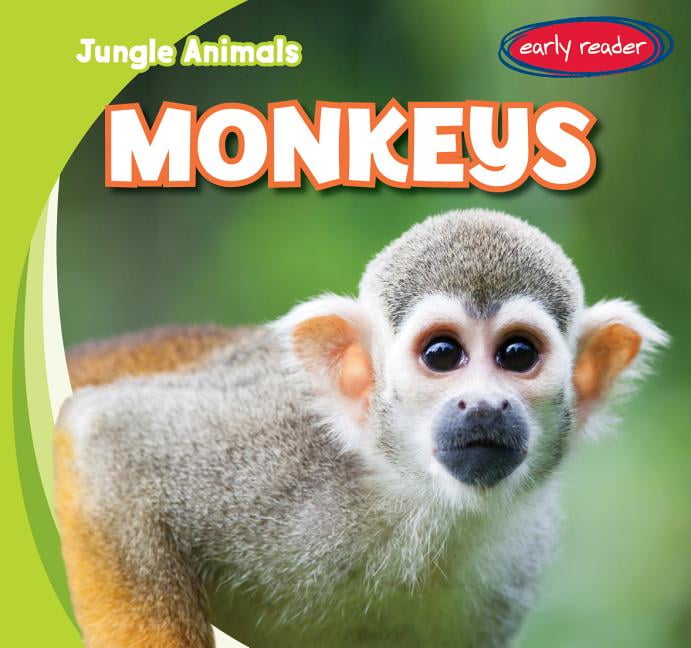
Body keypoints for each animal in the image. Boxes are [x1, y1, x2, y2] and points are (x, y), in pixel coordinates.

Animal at [54, 208, 667, 648]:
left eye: (518, 355)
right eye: (442, 354)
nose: (485, 406)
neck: (413, 499)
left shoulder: (514, 562)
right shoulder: (275, 451)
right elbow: (109, 437)